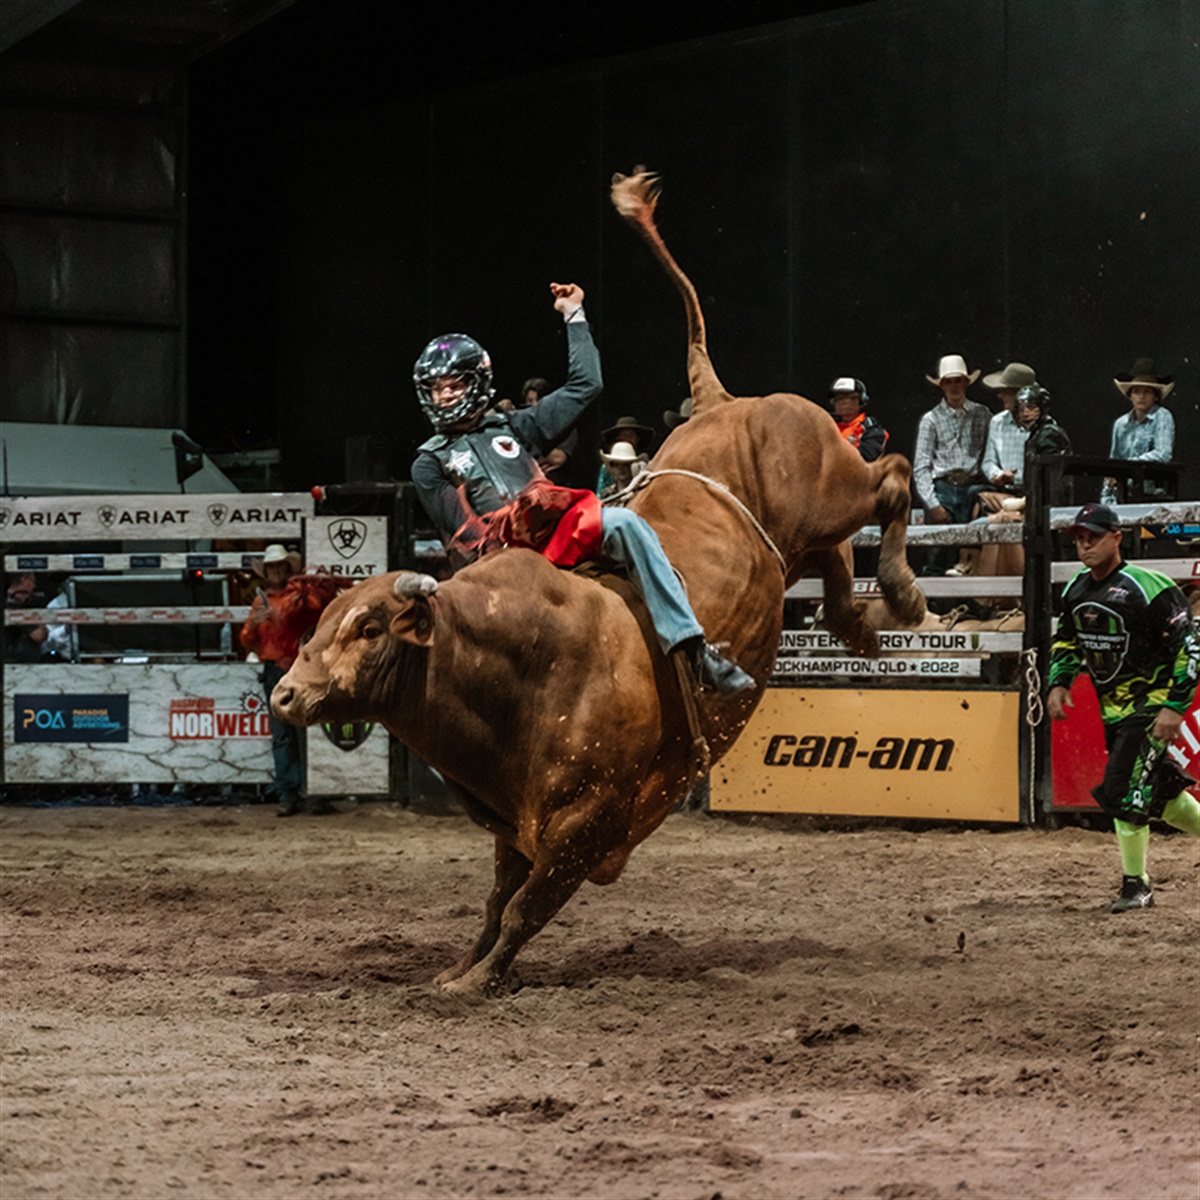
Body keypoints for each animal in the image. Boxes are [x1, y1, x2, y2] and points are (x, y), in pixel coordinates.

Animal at [271, 168, 925, 996]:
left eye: (366, 627)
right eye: (318, 625)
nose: (285, 695)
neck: (509, 665)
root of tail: (724, 402)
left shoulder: (589, 821)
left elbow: (526, 905)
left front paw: (477, 982)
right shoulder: (513, 822)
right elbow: (498, 900)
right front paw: (458, 967)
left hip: (832, 482)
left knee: (893, 478)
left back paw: (903, 588)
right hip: (798, 543)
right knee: (839, 570)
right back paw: (873, 621)